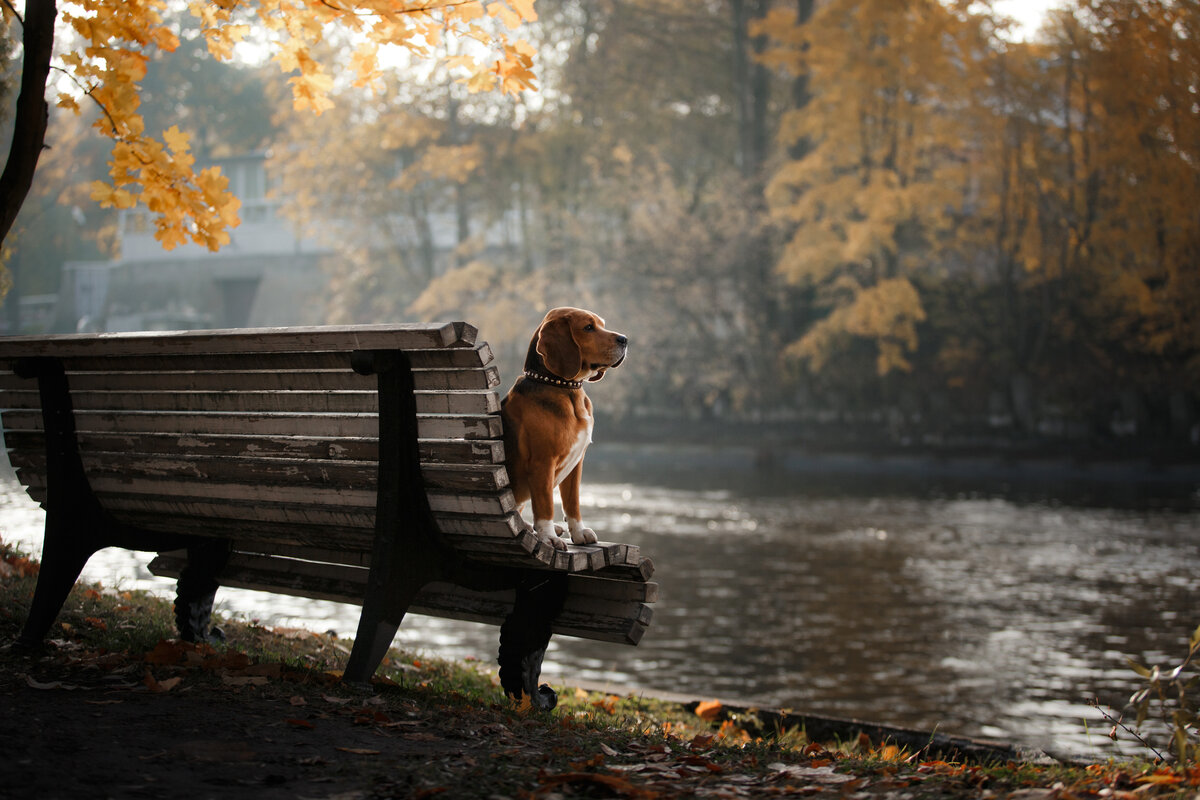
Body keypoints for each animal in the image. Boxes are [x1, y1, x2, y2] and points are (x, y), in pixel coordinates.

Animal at [499, 307, 628, 551]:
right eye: (588, 327)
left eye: (602, 324)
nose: (625, 339)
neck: (564, 388)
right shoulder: (542, 463)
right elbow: (546, 506)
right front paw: (548, 537)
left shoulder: (576, 464)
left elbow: (573, 503)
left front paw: (578, 532)